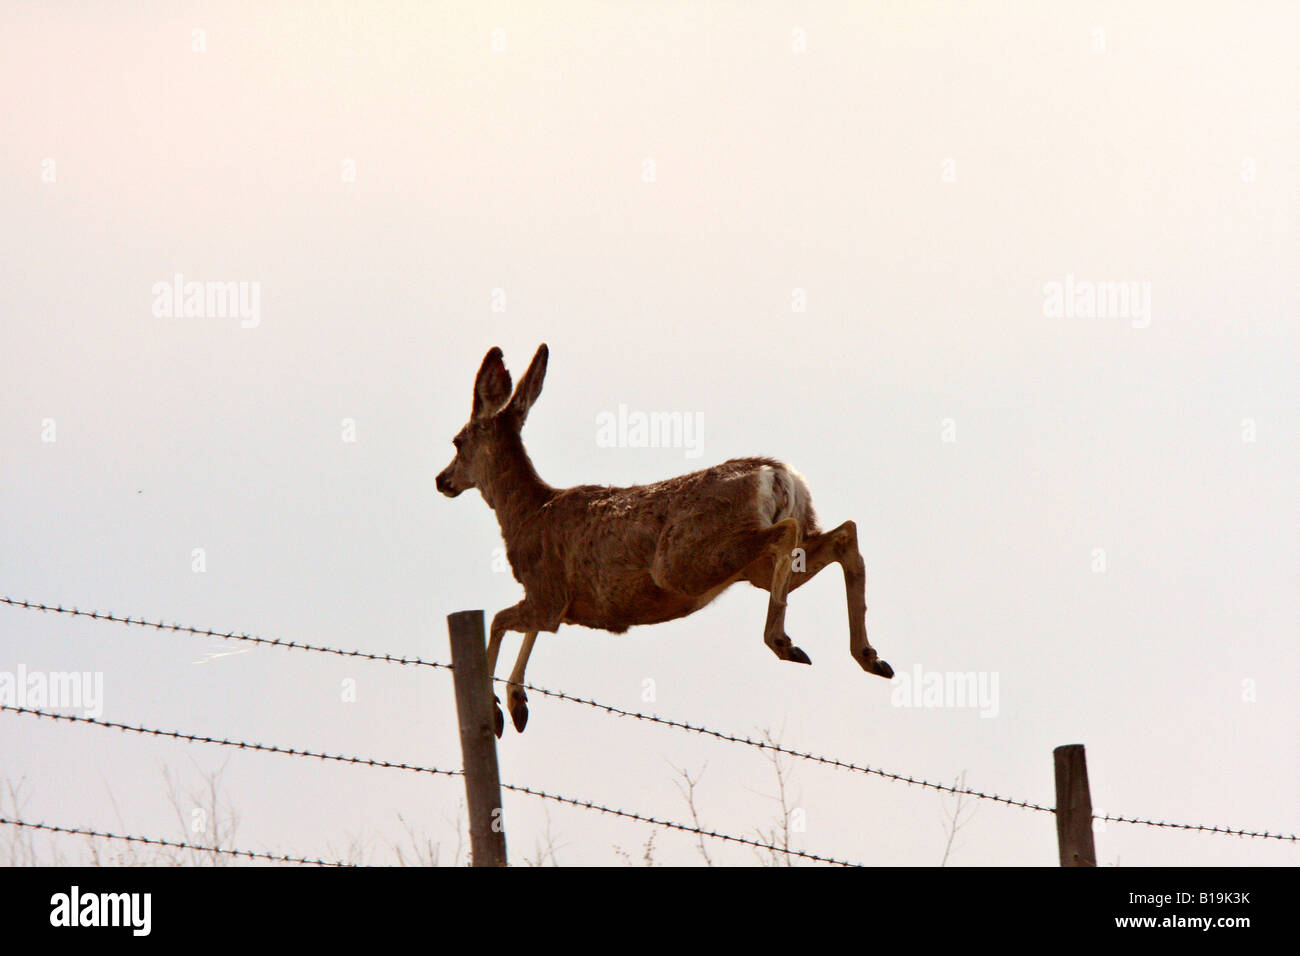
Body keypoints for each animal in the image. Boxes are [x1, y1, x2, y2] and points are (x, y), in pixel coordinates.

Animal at [436, 344, 894, 737]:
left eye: (458, 442)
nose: (442, 479)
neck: (528, 513)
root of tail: (776, 475)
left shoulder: (546, 591)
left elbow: (499, 622)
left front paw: (496, 711)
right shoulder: (555, 602)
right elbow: (526, 632)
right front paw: (517, 706)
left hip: (688, 561)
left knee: (790, 533)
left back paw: (783, 641)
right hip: (754, 564)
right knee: (844, 533)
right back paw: (870, 657)